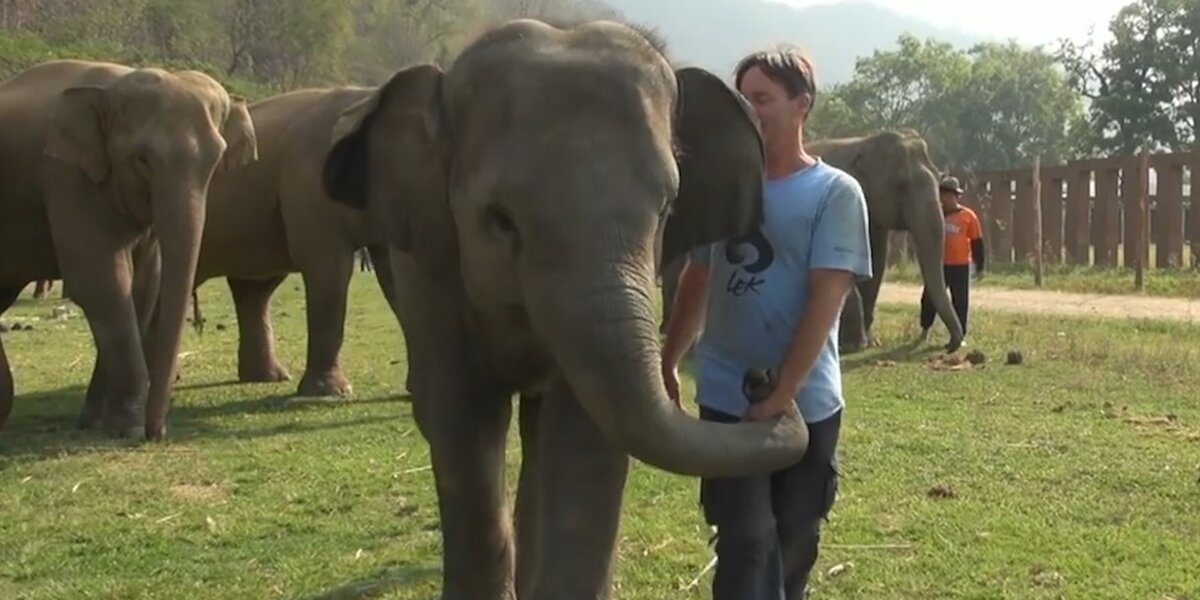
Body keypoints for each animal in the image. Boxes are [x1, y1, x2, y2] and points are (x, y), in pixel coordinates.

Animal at [0, 59, 258, 437]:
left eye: (216, 160)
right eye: (143, 159)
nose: (158, 431)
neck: (113, 83)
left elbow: (143, 284)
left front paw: (97, 422)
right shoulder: (65, 176)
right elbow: (103, 282)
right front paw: (130, 427)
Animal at [186, 86, 407, 397]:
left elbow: (393, 277)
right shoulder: (309, 185)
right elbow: (329, 269)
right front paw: (332, 393)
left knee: (254, 290)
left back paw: (270, 378)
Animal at [319, 18, 811, 600]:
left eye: (668, 207)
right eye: (500, 219)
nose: (762, 379)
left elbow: (586, 438)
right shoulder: (431, 275)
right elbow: (465, 423)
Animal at [808, 129, 964, 352]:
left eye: (938, 179)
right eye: (901, 185)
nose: (949, 345)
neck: (863, 142)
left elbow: (877, 262)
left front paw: (870, 343)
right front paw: (855, 345)